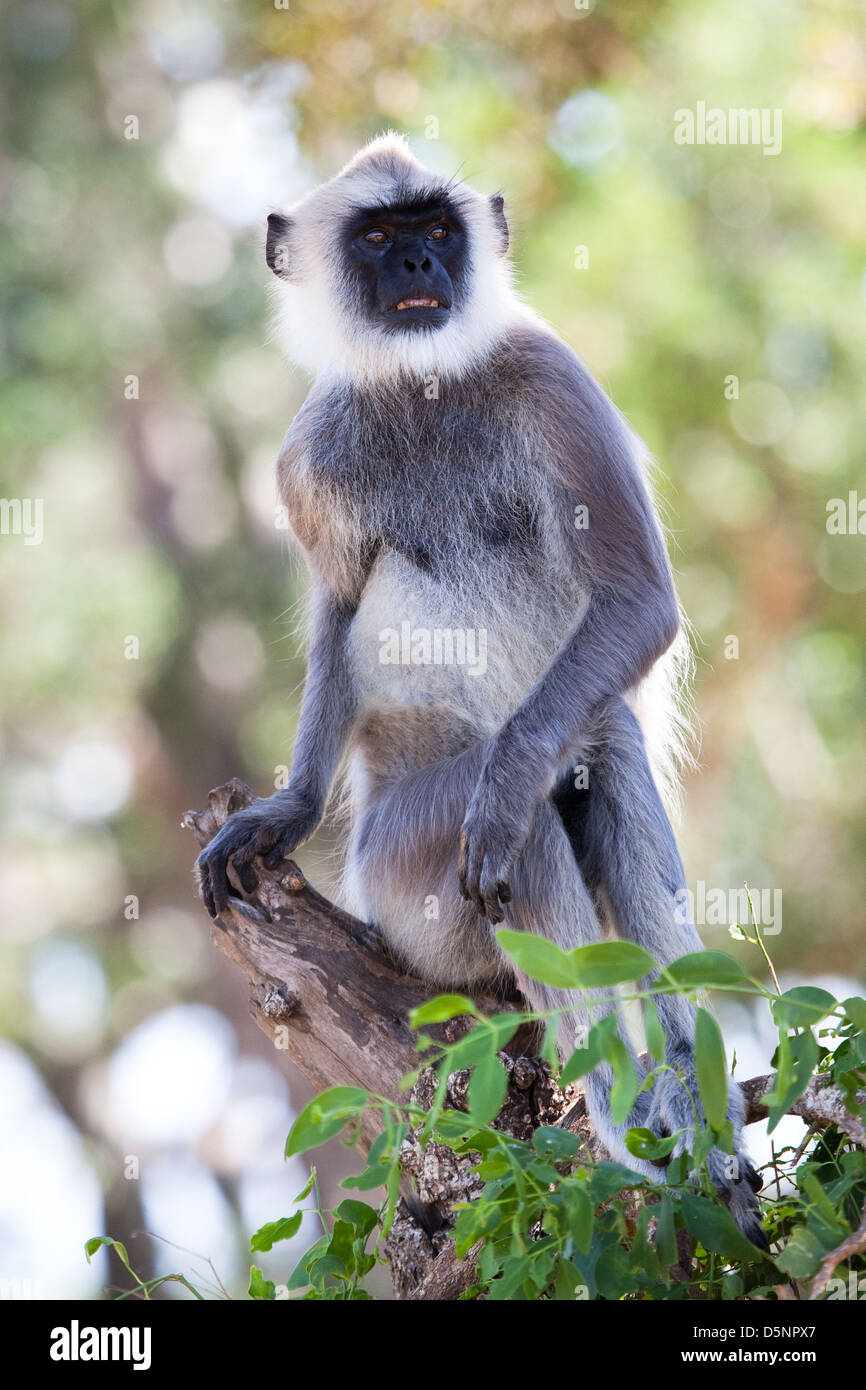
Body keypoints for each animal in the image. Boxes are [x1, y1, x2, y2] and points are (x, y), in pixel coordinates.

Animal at [197, 134, 763, 1242]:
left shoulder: (549, 374)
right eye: (379, 237)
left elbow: (635, 599)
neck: (420, 386)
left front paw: (500, 789)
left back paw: (681, 1110)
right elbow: (340, 610)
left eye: (436, 229)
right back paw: (635, 1121)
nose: (421, 265)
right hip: (402, 885)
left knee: (587, 753)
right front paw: (287, 809)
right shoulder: (309, 450)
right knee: (528, 818)